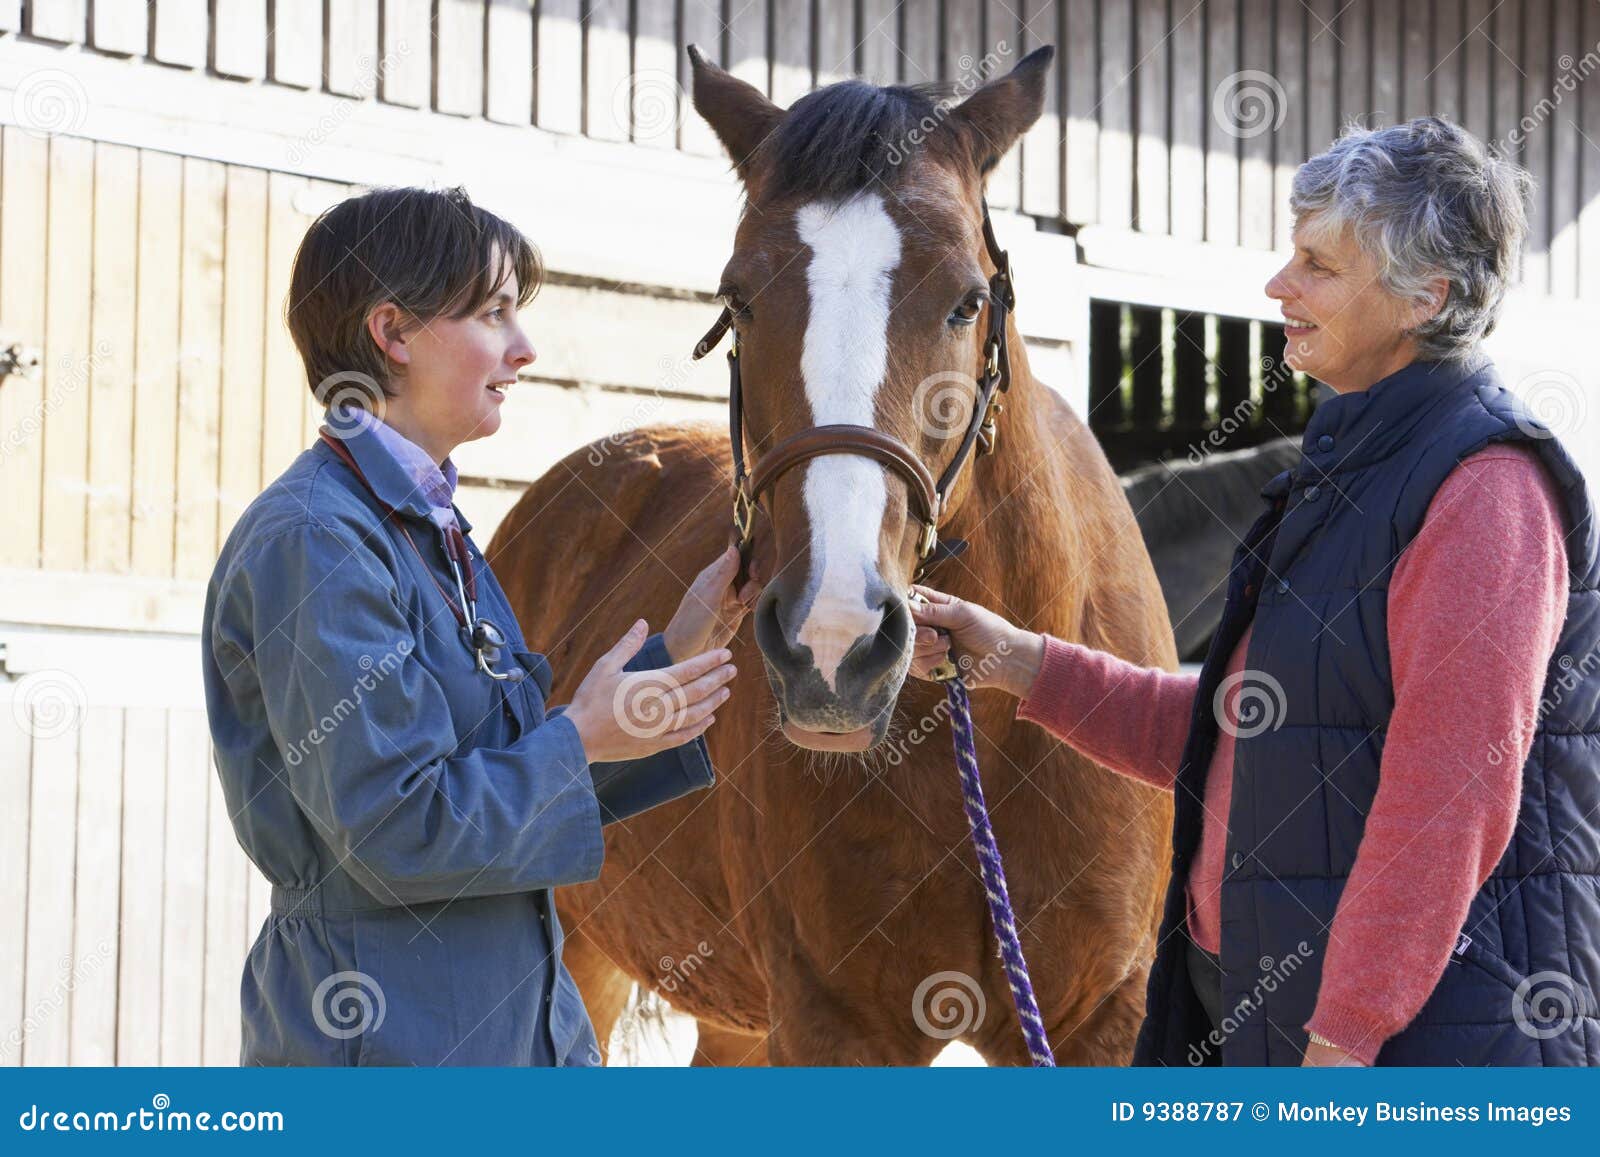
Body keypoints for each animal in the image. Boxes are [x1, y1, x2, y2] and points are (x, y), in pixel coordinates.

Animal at [489, 45, 1178, 1065]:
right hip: (585, 953)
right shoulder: (834, 1023)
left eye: (968, 299)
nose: (834, 639)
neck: (987, 735)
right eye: (738, 298)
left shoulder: (1100, 1021)